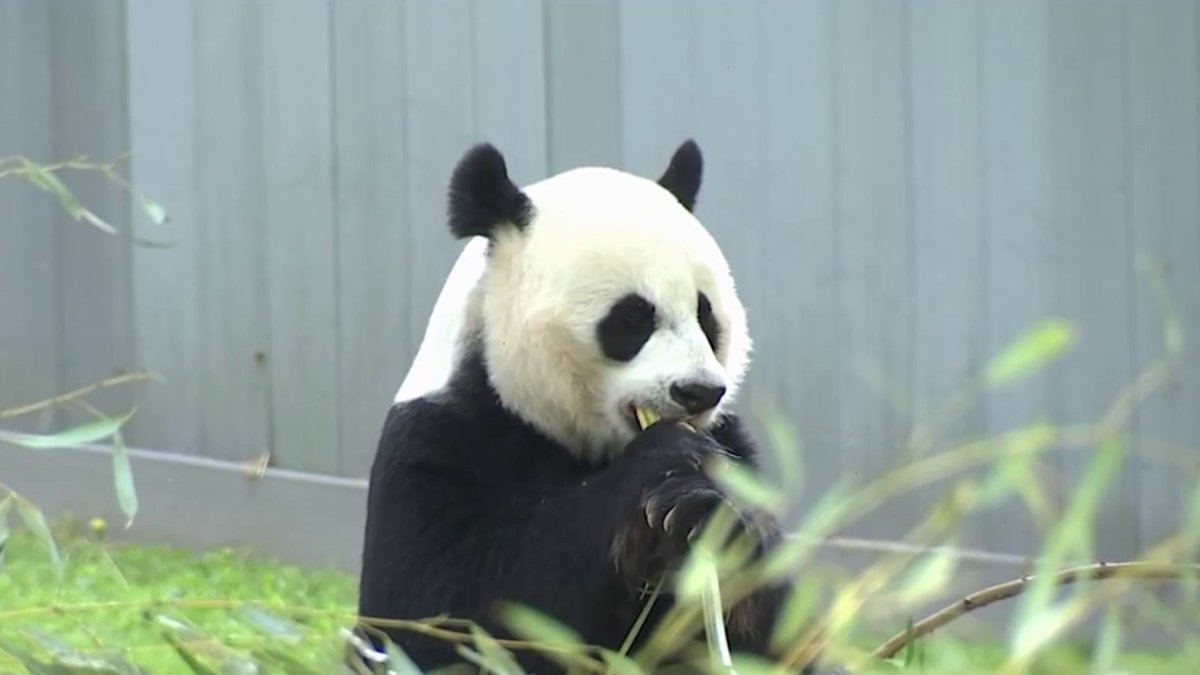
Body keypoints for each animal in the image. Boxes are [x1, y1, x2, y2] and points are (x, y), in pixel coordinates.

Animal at [356, 140, 821, 674]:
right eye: (633, 318)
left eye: (707, 315)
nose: (699, 391)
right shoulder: (437, 442)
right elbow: (442, 612)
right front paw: (663, 466)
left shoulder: (734, 444)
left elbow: (781, 634)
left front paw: (711, 511)